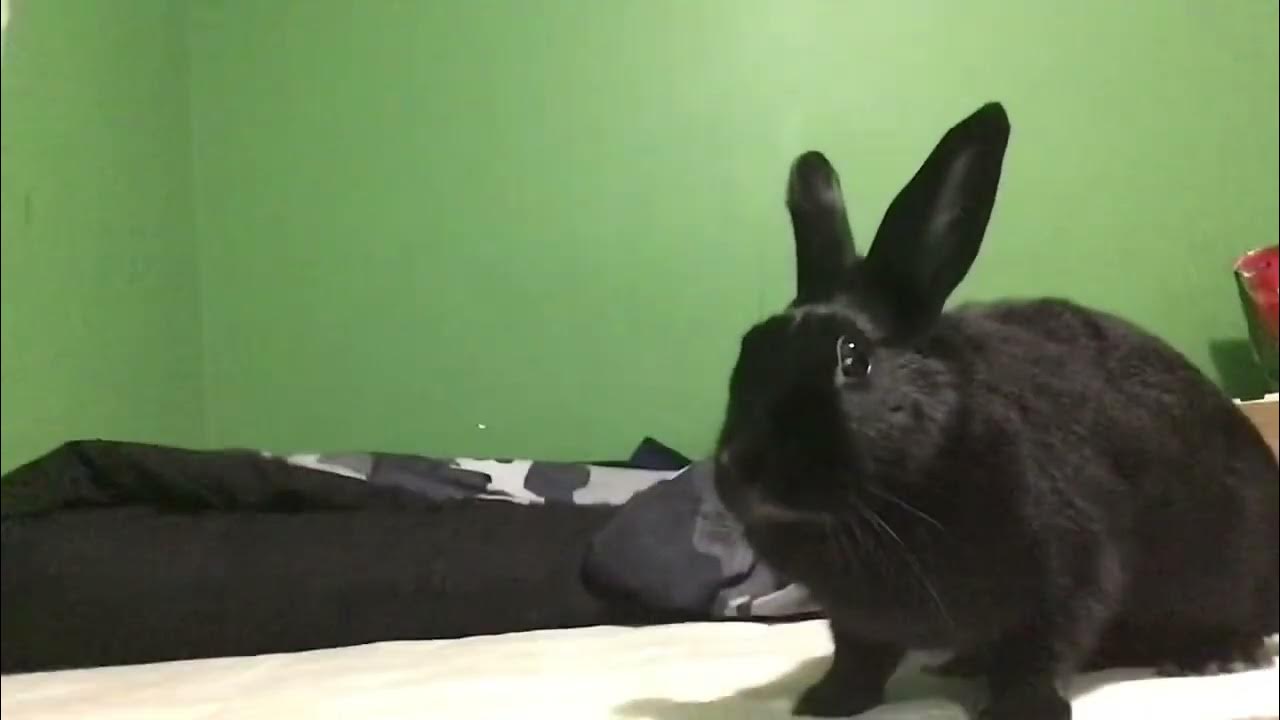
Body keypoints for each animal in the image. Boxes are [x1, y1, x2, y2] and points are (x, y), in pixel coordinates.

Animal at [713, 102, 1279, 720]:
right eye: (747, 348)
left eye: (853, 358)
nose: (744, 467)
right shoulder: (857, 620)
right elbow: (859, 657)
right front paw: (825, 702)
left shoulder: (1068, 572)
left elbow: (1038, 651)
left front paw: (1020, 708)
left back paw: (1214, 655)